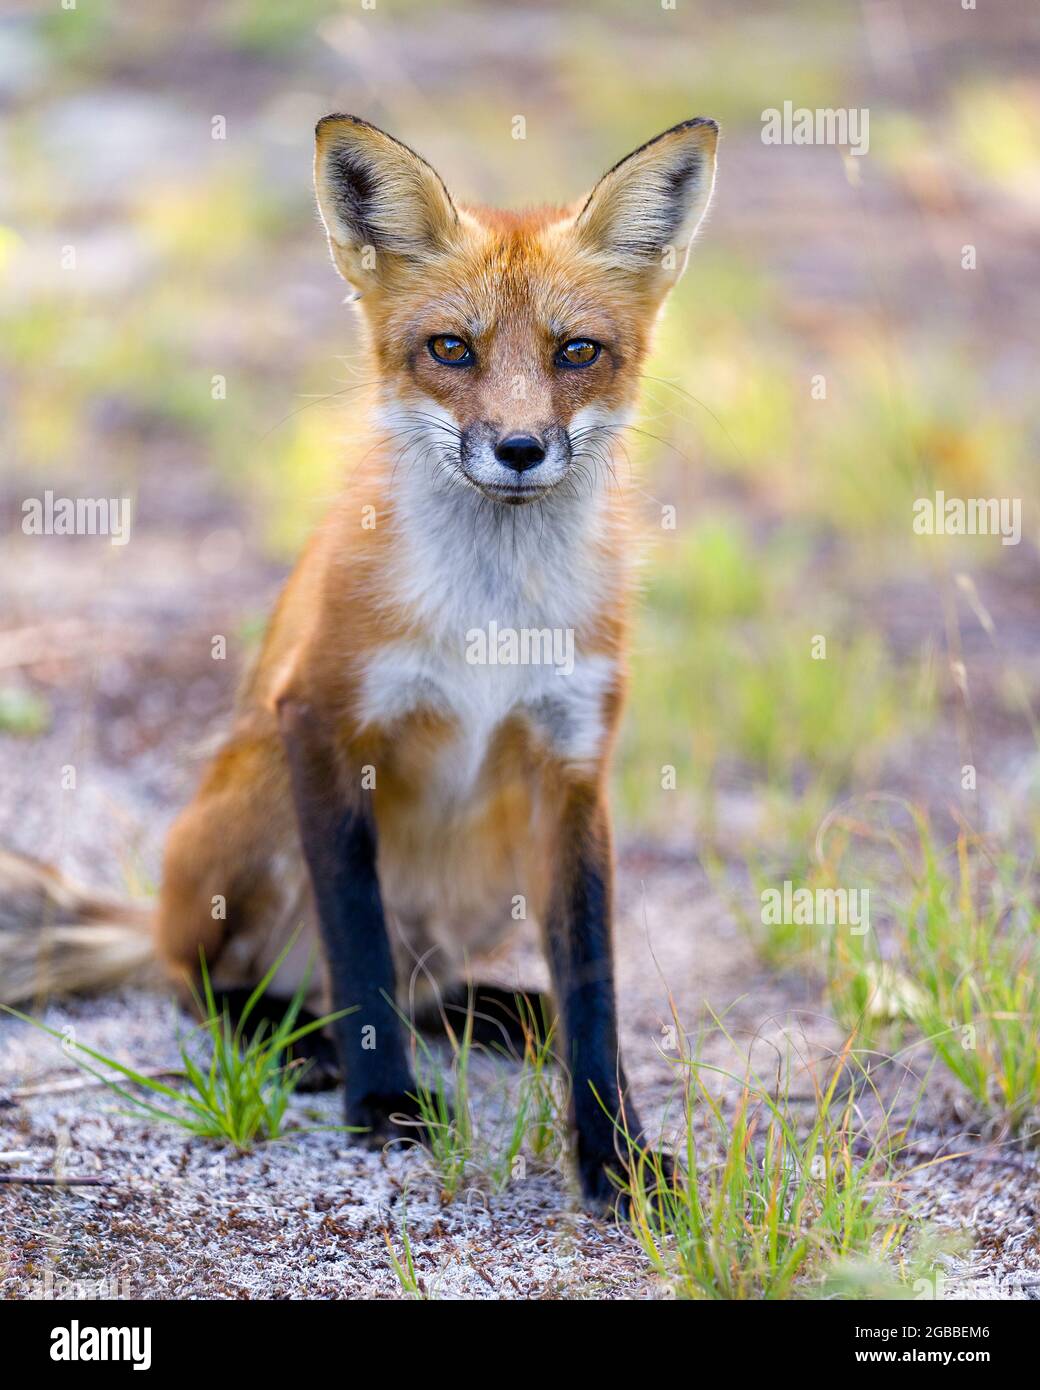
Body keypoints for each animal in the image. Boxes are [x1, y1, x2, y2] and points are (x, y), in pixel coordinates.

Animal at [0, 113, 717, 1207]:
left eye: (577, 352)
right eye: (450, 348)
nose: (518, 448)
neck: (489, 617)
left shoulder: (573, 766)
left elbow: (593, 984)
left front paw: (612, 1149)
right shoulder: (322, 716)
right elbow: (357, 939)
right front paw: (382, 1101)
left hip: (491, 864)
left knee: (435, 992)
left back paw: (503, 1014)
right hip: (251, 808)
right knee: (199, 980)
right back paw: (292, 1035)